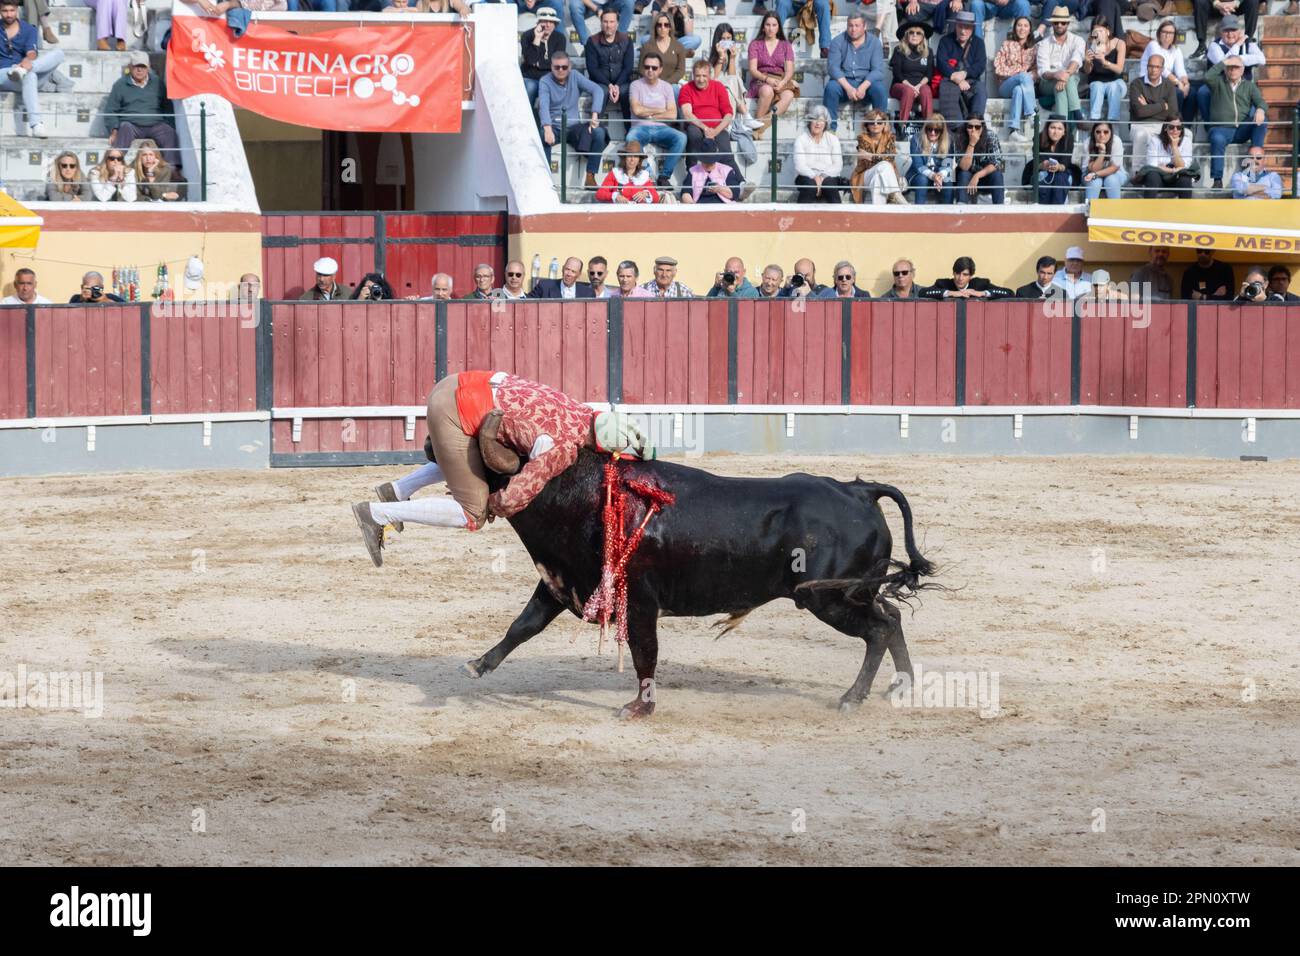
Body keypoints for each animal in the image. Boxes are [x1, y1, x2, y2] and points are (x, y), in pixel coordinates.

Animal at [463, 449, 937, 718]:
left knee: (878, 628)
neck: (586, 495)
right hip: (853, 593)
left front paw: (639, 707)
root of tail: (857, 491)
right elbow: (523, 626)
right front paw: (478, 665)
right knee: (891, 617)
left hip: (827, 598)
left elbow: (644, 652)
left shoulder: (639, 602)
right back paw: (901, 686)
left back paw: (853, 698)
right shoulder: (561, 582)